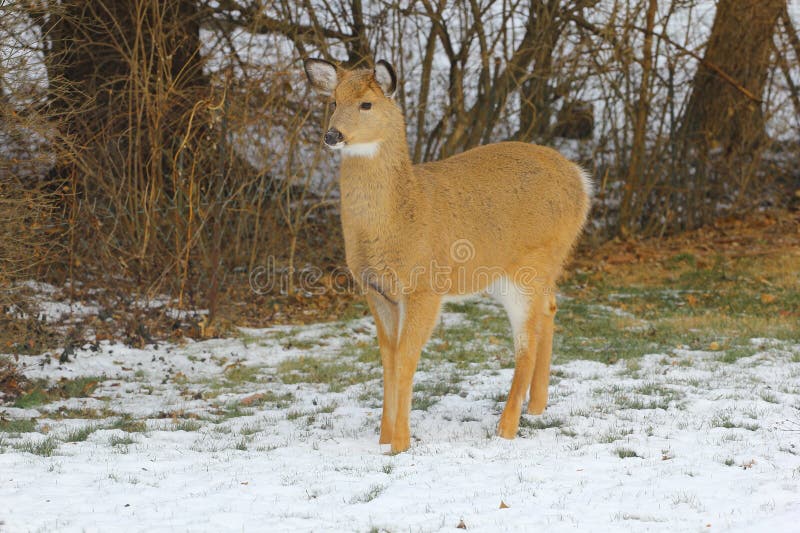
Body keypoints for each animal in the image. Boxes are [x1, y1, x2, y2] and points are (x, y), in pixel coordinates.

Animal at [304, 58, 591, 453]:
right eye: (333, 101)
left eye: (366, 104)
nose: (332, 135)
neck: (401, 212)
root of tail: (582, 181)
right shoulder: (376, 291)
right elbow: (388, 357)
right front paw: (383, 437)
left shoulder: (425, 286)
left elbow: (407, 357)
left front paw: (401, 444)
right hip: (531, 269)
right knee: (548, 311)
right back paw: (536, 406)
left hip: (528, 268)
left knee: (526, 341)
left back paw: (506, 427)